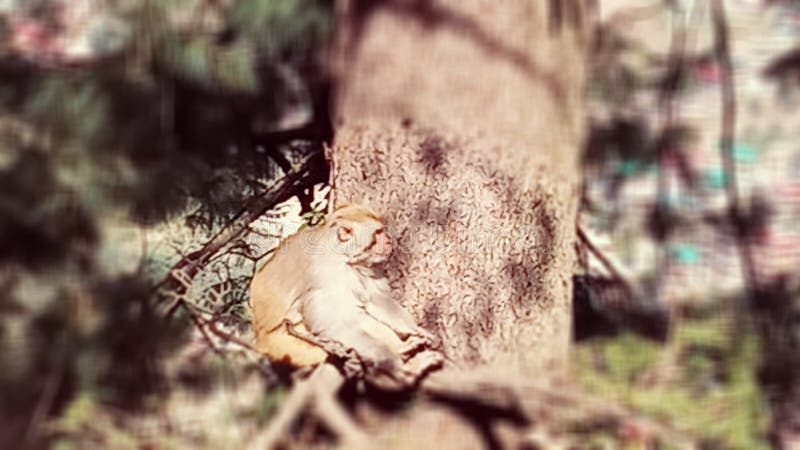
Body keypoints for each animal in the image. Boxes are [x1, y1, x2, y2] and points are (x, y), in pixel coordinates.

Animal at [249, 203, 439, 384]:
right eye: (377, 233)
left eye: (382, 231)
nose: (388, 239)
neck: (342, 256)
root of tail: (259, 341)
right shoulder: (327, 275)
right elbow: (334, 324)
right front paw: (391, 362)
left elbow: (375, 299)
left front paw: (416, 329)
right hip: (290, 347)